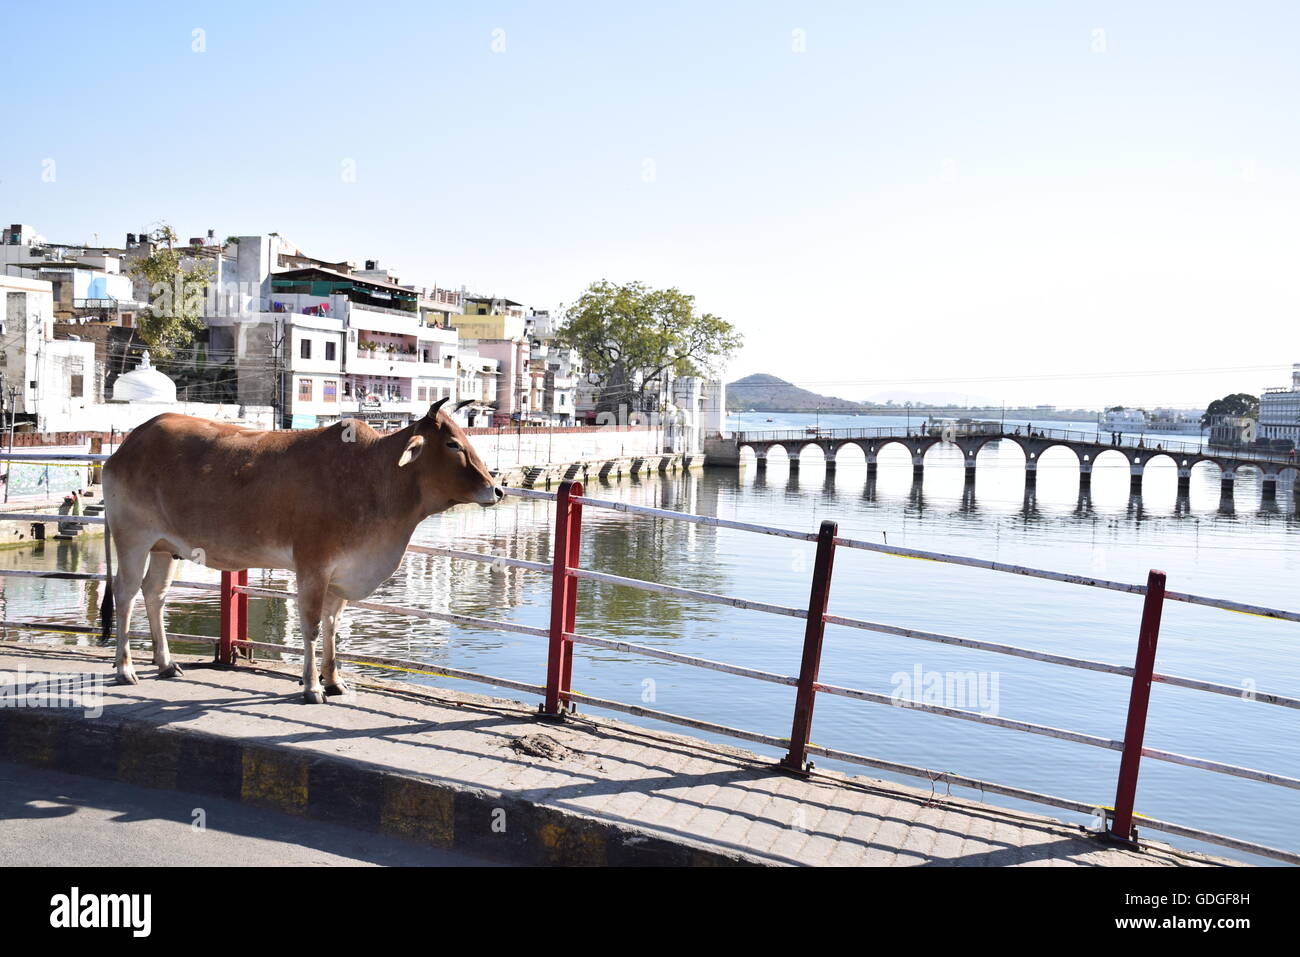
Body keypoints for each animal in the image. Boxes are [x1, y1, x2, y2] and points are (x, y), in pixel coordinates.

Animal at [100, 397, 503, 703]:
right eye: (452, 444)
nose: (496, 489)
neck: (374, 475)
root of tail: (127, 445)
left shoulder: (340, 575)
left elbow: (332, 626)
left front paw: (334, 681)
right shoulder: (313, 567)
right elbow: (310, 626)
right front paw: (312, 687)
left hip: (164, 547)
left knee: (155, 594)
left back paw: (166, 663)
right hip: (133, 538)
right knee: (126, 594)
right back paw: (124, 668)